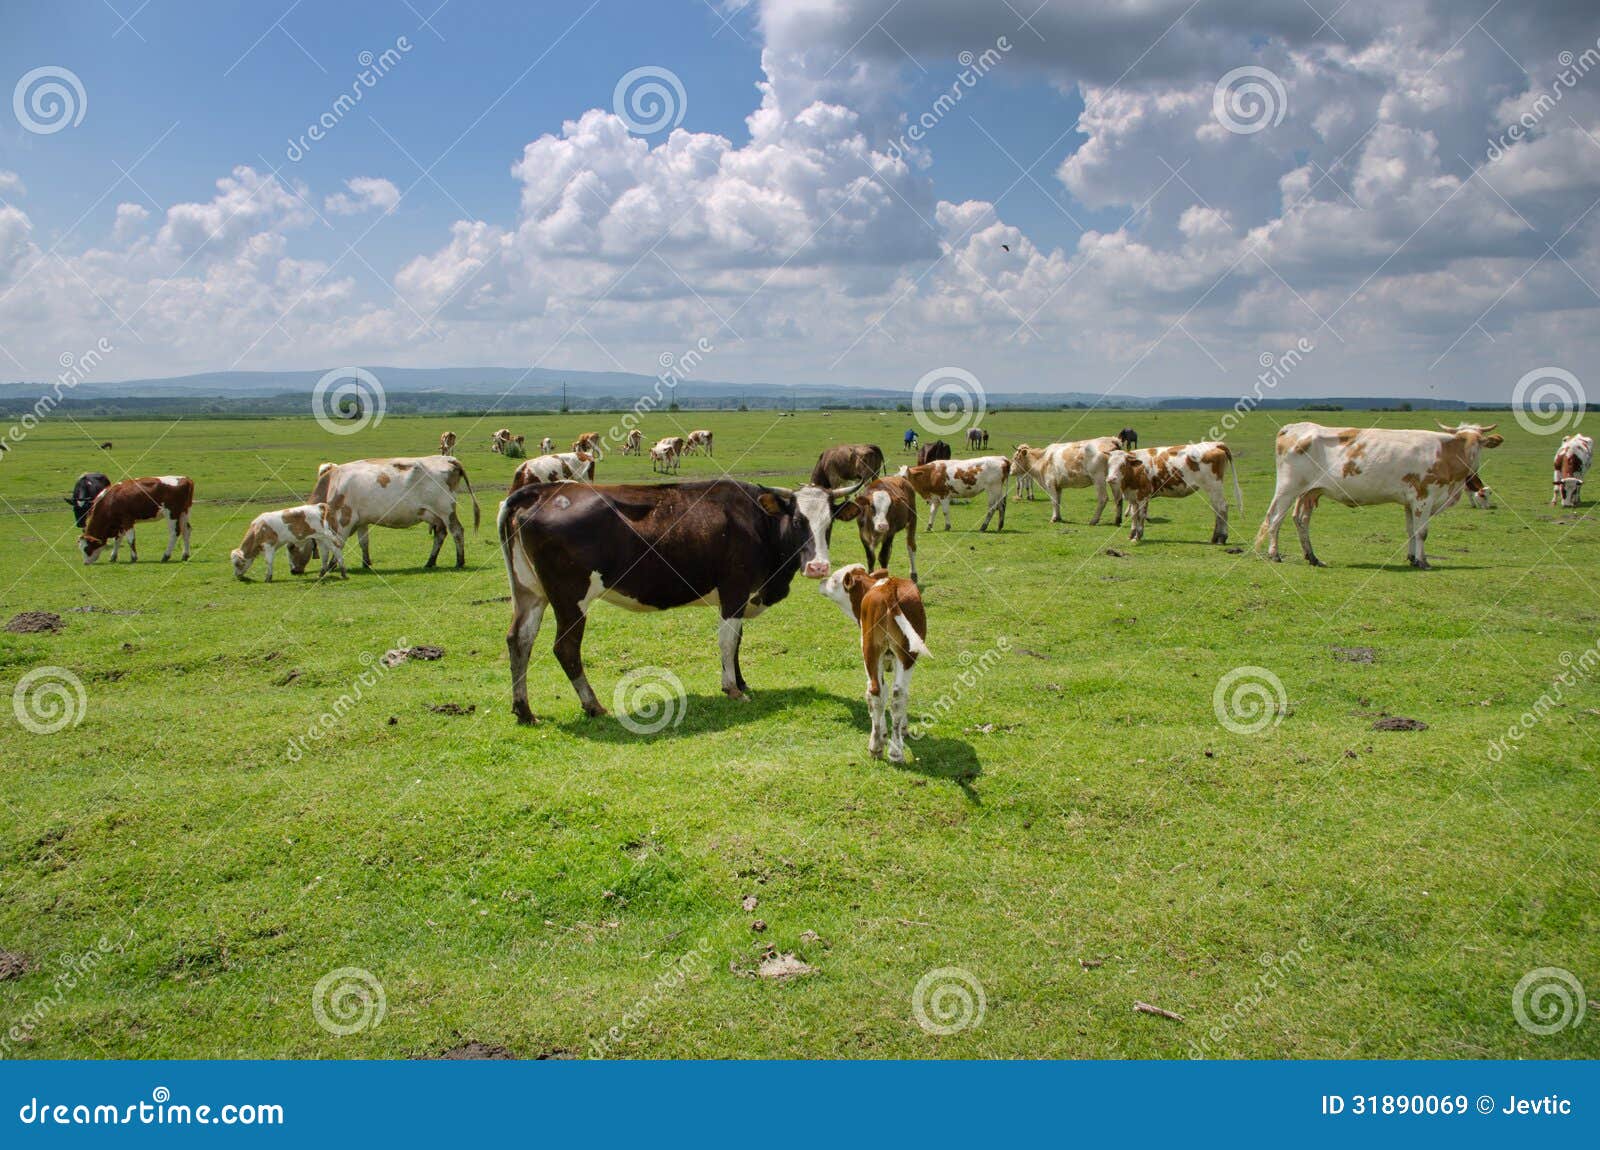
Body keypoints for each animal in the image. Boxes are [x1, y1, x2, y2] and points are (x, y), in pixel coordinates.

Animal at [288, 456, 480, 572]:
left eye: (291, 547)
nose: (293, 571)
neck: (332, 484)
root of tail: (449, 458)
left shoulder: (344, 518)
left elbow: (338, 542)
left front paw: (332, 566)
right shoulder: (361, 521)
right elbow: (364, 542)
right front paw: (366, 563)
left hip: (446, 510)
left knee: (457, 531)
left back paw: (459, 561)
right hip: (435, 515)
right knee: (440, 534)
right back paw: (430, 562)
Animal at [498, 476, 862, 723]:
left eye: (829, 522)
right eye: (798, 520)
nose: (818, 566)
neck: (758, 521)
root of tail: (541, 491)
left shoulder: (740, 597)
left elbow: (738, 640)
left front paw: (742, 682)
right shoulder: (735, 589)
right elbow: (728, 640)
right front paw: (732, 688)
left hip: (530, 592)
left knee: (520, 640)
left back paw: (524, 709)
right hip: (570, 598)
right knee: (566, 648)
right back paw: (592, 704)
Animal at [818, 564, 929, 764]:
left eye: (834, 579)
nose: (822, 581)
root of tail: (889, 588)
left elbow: (877, 695)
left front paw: (883, 735)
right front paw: (902, 729)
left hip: (869, 650)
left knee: (875, 692)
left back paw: (875, 747)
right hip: (908, 654)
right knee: (899, 696)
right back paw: (896, 753)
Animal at [1107, 442, 1242, 544]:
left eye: (1123, 465)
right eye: (1108, 464)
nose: (1111, 479)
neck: (1136, 469)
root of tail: (1216, 444)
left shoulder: (1143, 495)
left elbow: (1141, 516)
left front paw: (1138, 536)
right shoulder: (1133, 496)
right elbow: (1134, 515)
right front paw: (1132, 535)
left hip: (1214, 487)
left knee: (1222, 508)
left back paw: (1221, 538)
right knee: (1217, 510)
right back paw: (1215, 538)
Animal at [1256, 422, 1504, 569]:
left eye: (1480, 443)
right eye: (1464, 442)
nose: (1470, 462)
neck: (1445, 455)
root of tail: (1293, 427)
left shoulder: (1410, 502)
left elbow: (1411, 531)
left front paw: (1412, 558)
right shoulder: (1424, 497)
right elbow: (1422, 532)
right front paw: (1423, 561)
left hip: (1309, 492)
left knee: (1301, 520)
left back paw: (1312, 557)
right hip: (1288, 489)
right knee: (1275, 519)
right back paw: (1274, 554)